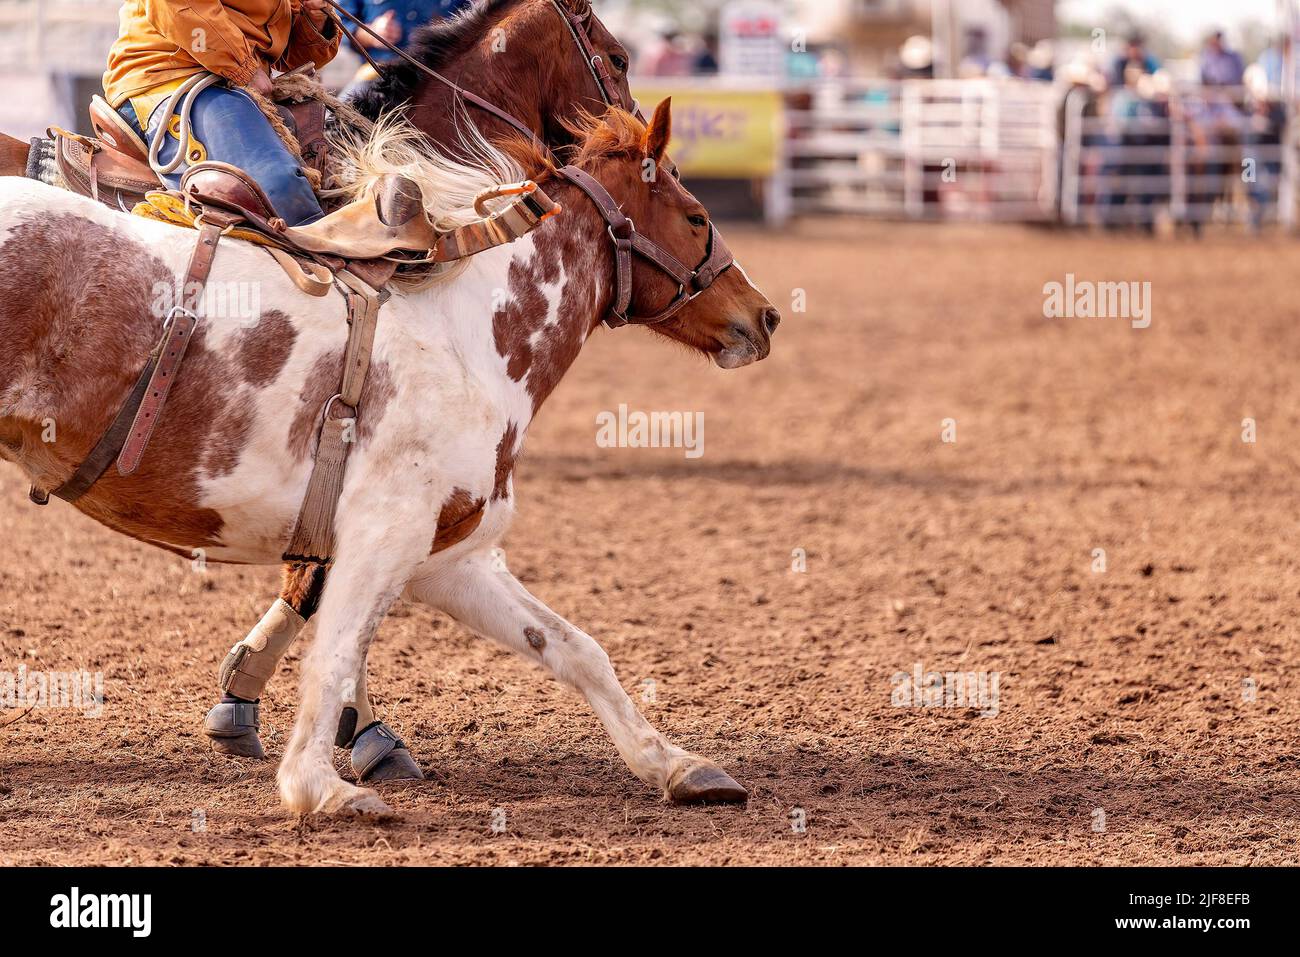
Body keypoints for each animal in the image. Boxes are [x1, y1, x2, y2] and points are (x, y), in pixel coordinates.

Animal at [0, 99, 780, 816]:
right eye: (695, 217)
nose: (765, 315)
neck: (468, 335)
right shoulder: (383, 534)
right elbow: (335, 651)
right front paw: (320, 785)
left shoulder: (447, 556)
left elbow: (573, 648)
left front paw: (676, 765)